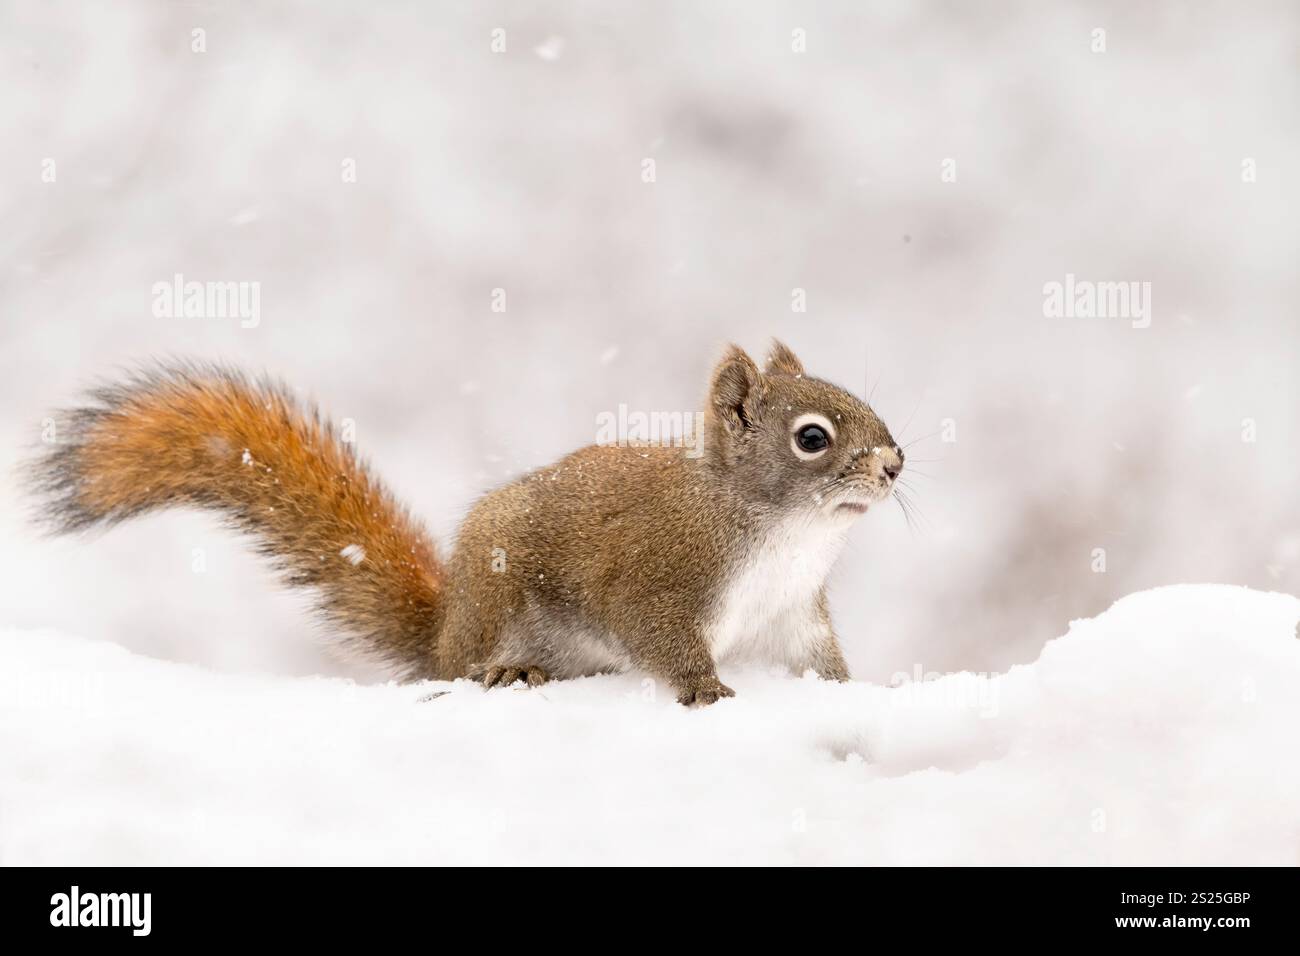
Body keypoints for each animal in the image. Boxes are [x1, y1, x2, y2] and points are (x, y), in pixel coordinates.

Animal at [28, 342, 904, 706]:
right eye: (813, 438)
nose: (894, 464)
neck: (783, 538)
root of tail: (443, 631)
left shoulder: (792, 618)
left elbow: (819, 664)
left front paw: (855, 690)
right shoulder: (659, 582)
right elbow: (661, 639)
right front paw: (705, 689)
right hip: (498, 602)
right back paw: (507, 673)